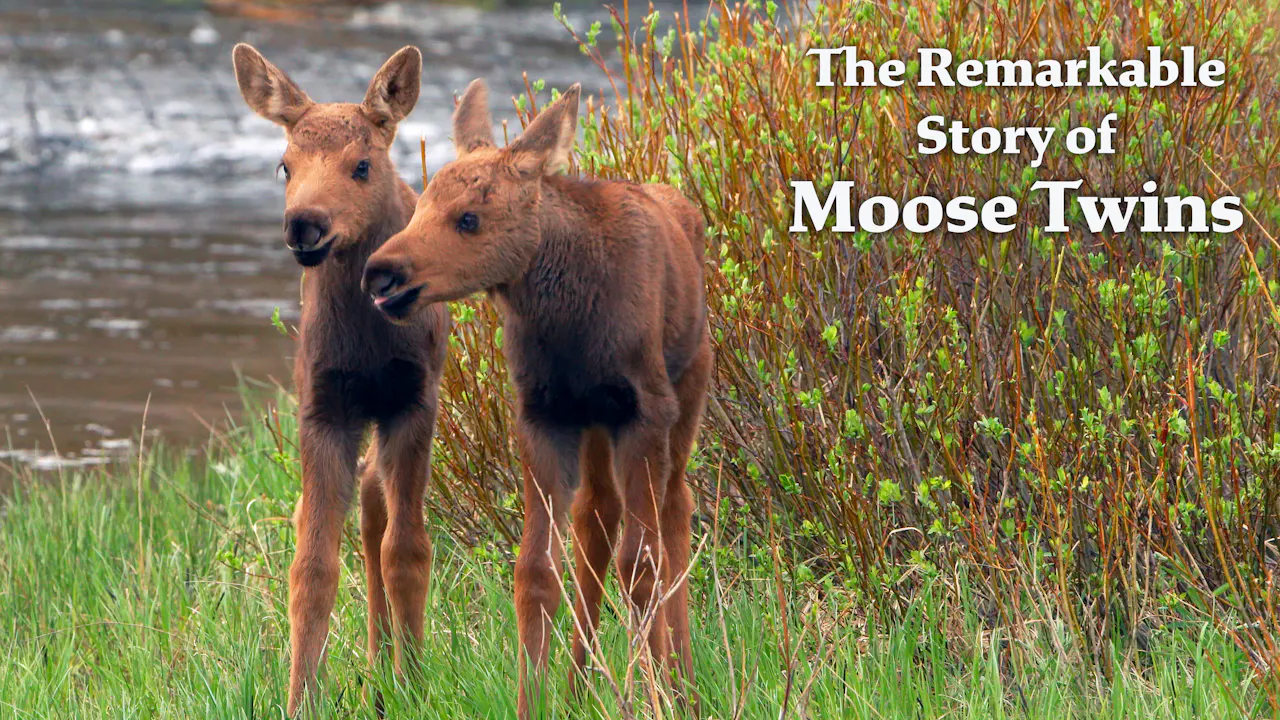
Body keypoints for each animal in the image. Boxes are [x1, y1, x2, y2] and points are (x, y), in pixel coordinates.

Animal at [231, 44, 450, 715]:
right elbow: (312, 567)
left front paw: (417, 683)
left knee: (379, 512)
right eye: (285, 165)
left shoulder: (413, 403)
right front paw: (301, 696)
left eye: (360, 165)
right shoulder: (323, 408)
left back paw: (392, 668)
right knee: (360, 509)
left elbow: (408, 552)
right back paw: (378, 666)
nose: (304, 223)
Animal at [360, 79, 710, 716]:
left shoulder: (644, 413)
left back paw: (681, 681)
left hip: (688, 388)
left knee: (676, 509)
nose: (383, 273)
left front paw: (652, 695)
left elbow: (641, 566)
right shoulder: (542, 414)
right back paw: (578, 686)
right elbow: (536, 570)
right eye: (419, 205)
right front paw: (537, 698)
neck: (570, 321)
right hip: (594, 423)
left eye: (469, 218)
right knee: (596, 516)